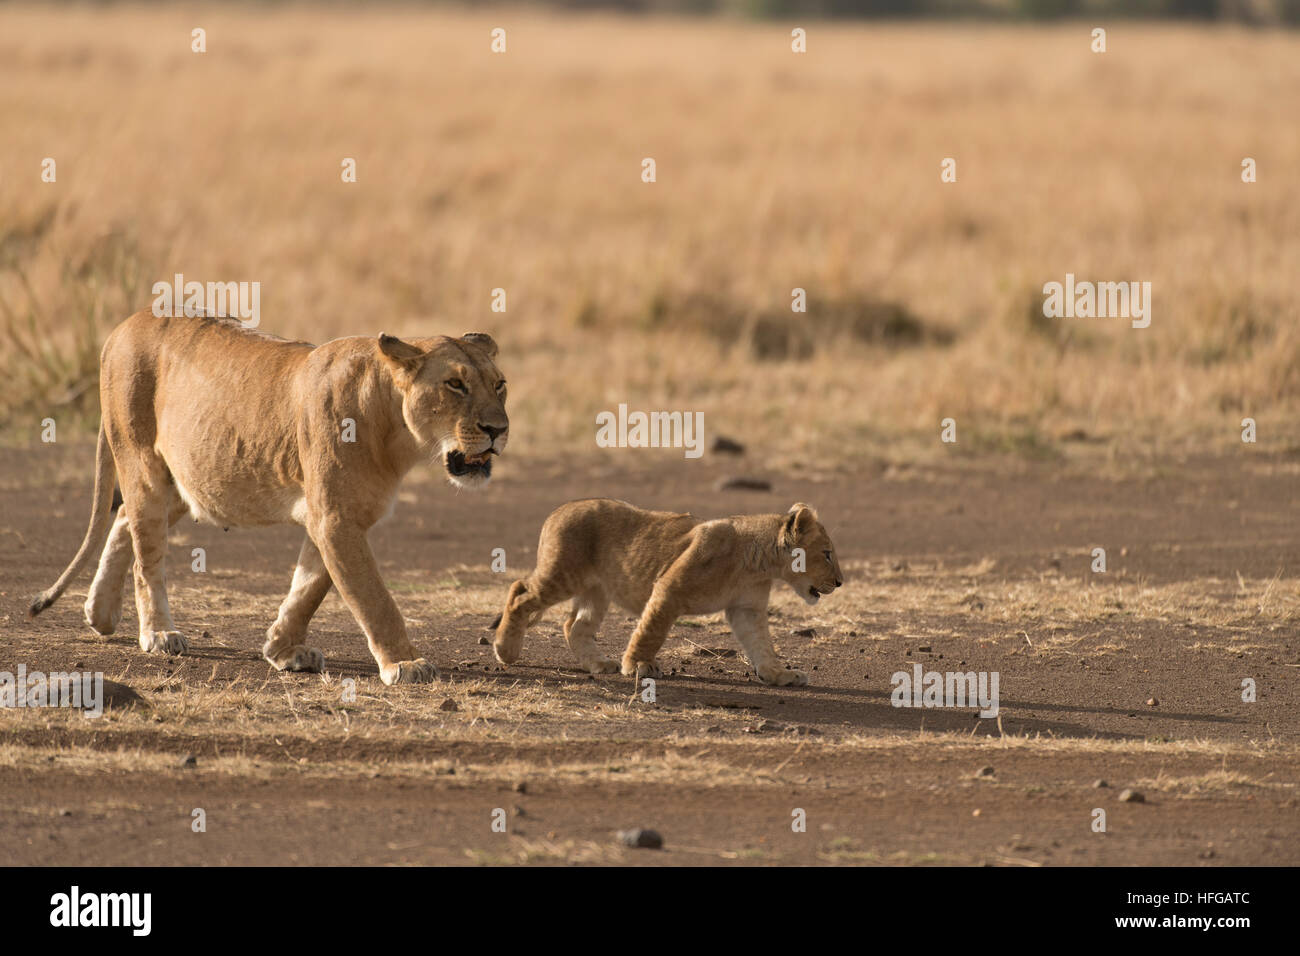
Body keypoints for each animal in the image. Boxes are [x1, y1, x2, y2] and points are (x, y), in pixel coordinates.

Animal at [29, 310, 508, 686]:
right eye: (455, 384)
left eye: (500, 385)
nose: (498, 429)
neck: (397, 434)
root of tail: (124, 325)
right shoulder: (335, 520)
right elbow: (374, 599)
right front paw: (405, 664)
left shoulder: (332, 519)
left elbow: (309, 588)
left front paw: (283, 650)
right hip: (143, 463)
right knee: (146, 555)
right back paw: (159, 634)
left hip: (188, 479)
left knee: (124, 517)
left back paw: (100, 614)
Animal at [491, 498, 843, 686]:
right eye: (827, 553)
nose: (840, 582)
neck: (757, 564)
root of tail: (557, 510)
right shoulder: (669, 588)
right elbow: (652, 630)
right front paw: (638, 666)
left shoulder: (747, 609)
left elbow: (762, 645)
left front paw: (778, 674)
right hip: (564, 575)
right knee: (519, 592)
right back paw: (505, 650)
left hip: (596, 589)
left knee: (574, 627)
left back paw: (599, 664)